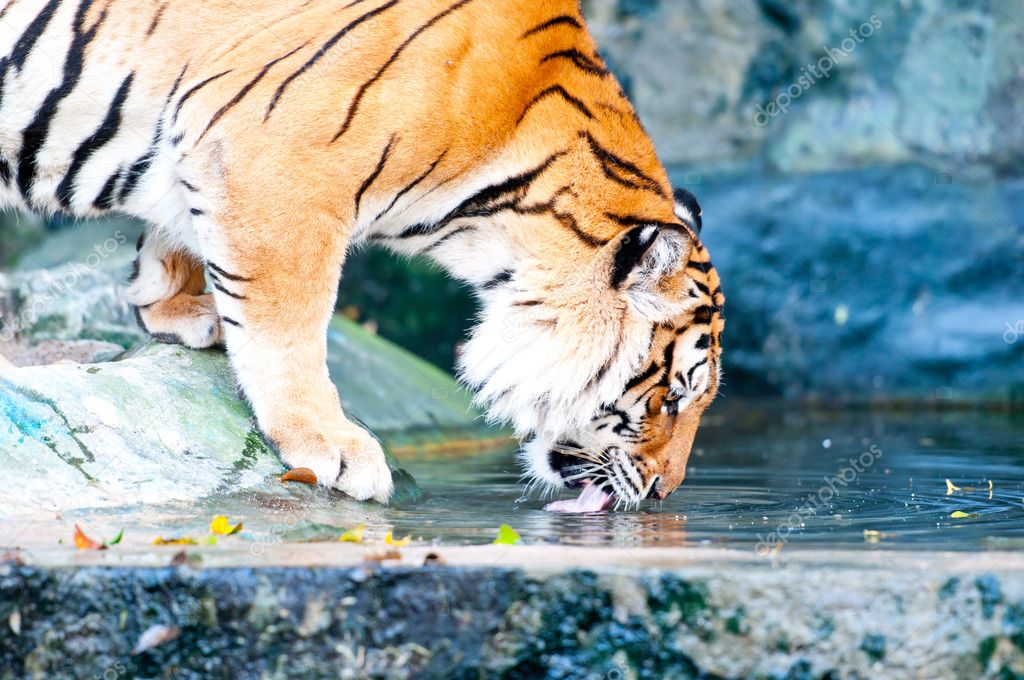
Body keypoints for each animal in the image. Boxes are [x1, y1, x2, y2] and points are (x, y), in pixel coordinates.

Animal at [0, 0, 724, 506]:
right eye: (669, 398)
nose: (664, 492)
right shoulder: (277, 160)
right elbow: (287, 321)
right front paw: (332, 443)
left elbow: (173, 228)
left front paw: (177, 311)